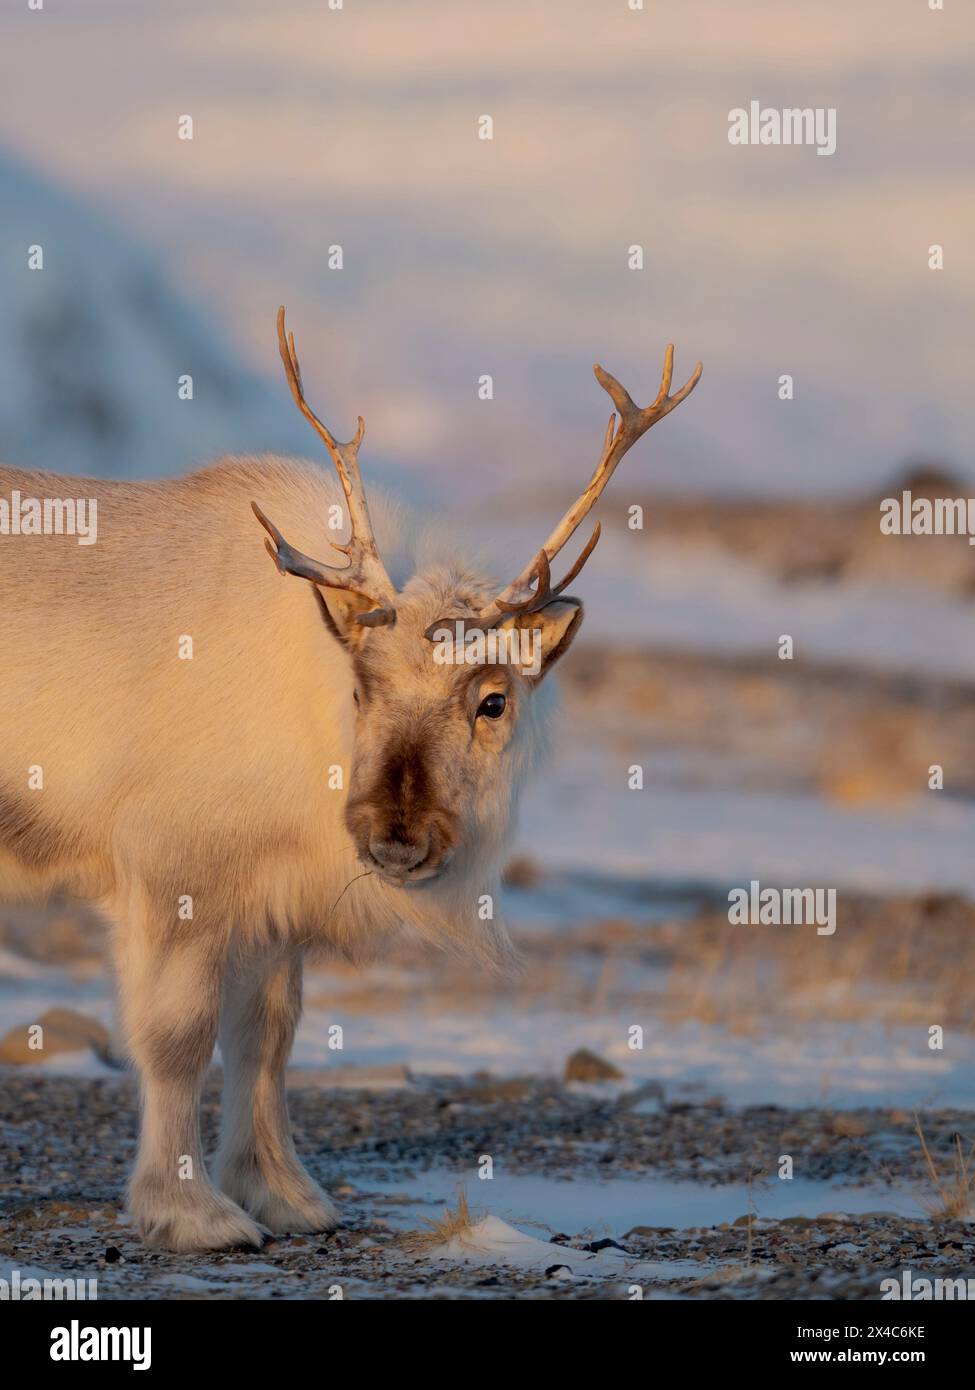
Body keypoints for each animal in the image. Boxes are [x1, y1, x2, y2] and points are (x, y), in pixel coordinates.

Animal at [0, 307, 700, 1252]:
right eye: (363, 684)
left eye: (491, 699)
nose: (396, 833)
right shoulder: (172, 874)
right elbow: (176, 1039)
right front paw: (191, 1213)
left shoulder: (271, 902)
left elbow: (268, 1036)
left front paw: (285, 1195)